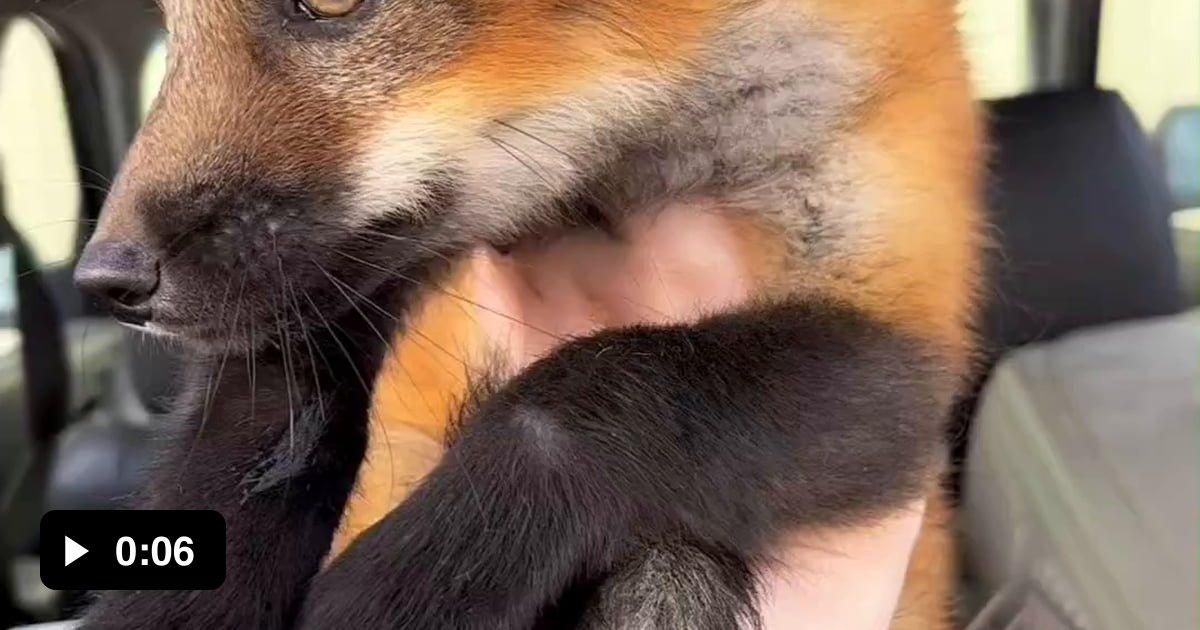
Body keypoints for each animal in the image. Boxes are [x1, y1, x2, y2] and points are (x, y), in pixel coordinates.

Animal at [72, 0, 983, 628]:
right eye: (173, 25)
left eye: (328, 3)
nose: (105, 279)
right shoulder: (319, 311)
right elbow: (244, 448)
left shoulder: (904, 338)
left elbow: (584, 391)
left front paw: (408, 586)